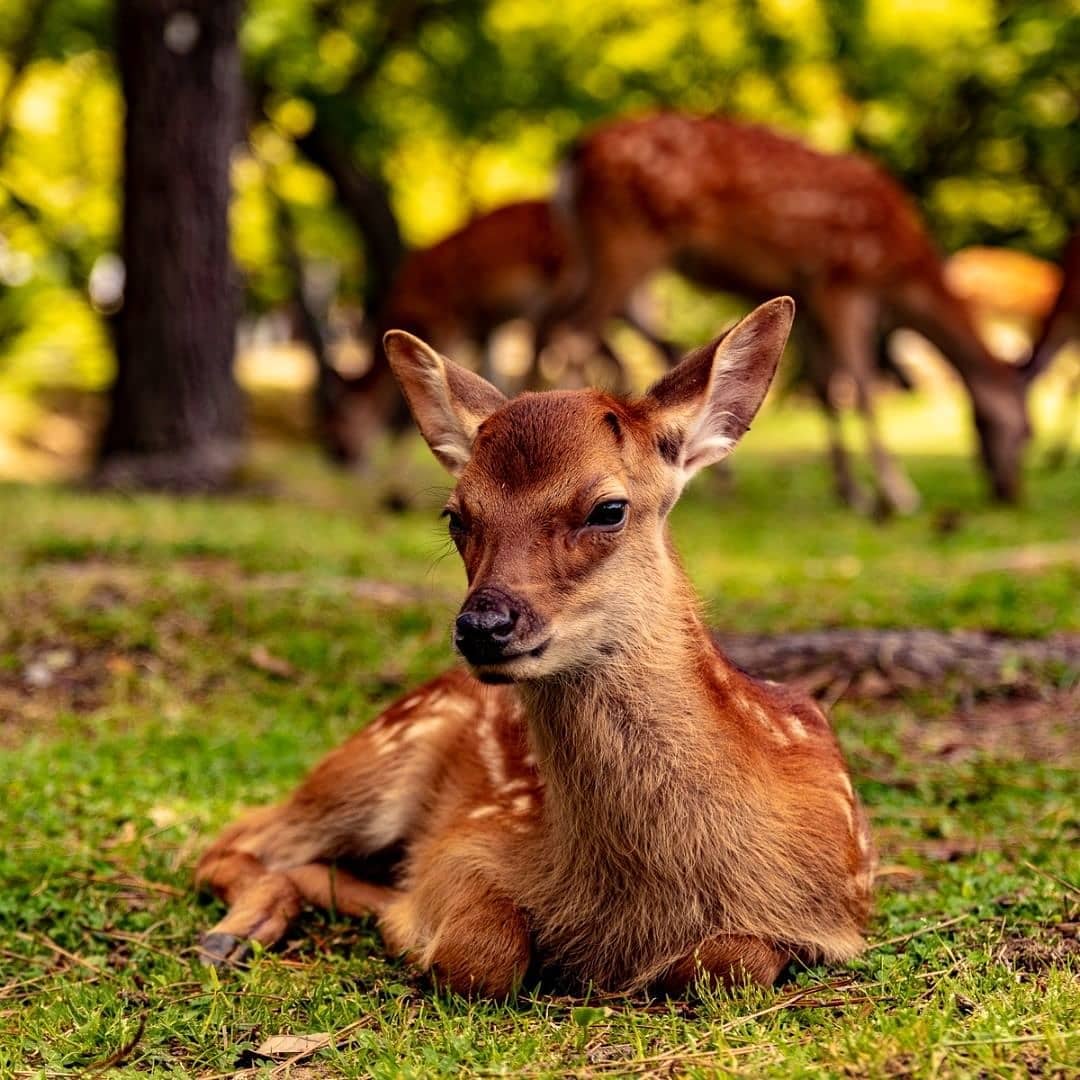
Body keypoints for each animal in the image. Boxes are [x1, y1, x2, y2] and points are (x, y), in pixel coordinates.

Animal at [195, 297, 874, 998]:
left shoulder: (841, 910)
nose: (482, 625)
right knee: (231, 837)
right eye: (455, 515)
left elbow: (734, 962)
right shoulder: (471, 835)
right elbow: (483, 952)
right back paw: (233, 935)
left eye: (608, 508)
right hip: (371, 763)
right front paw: (410, 927)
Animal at [534, 112, 1043, 514]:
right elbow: (861, 385)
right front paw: (898, 494)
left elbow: (824, 387)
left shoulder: (808, 295)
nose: (1010, 493)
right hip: (630, 238)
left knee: (553, 323)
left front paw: (851, 492)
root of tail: (573, 155)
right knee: (573, 332)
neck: (902, 268)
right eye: (1025, 430)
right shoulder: (843, 279)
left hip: (590, 251)